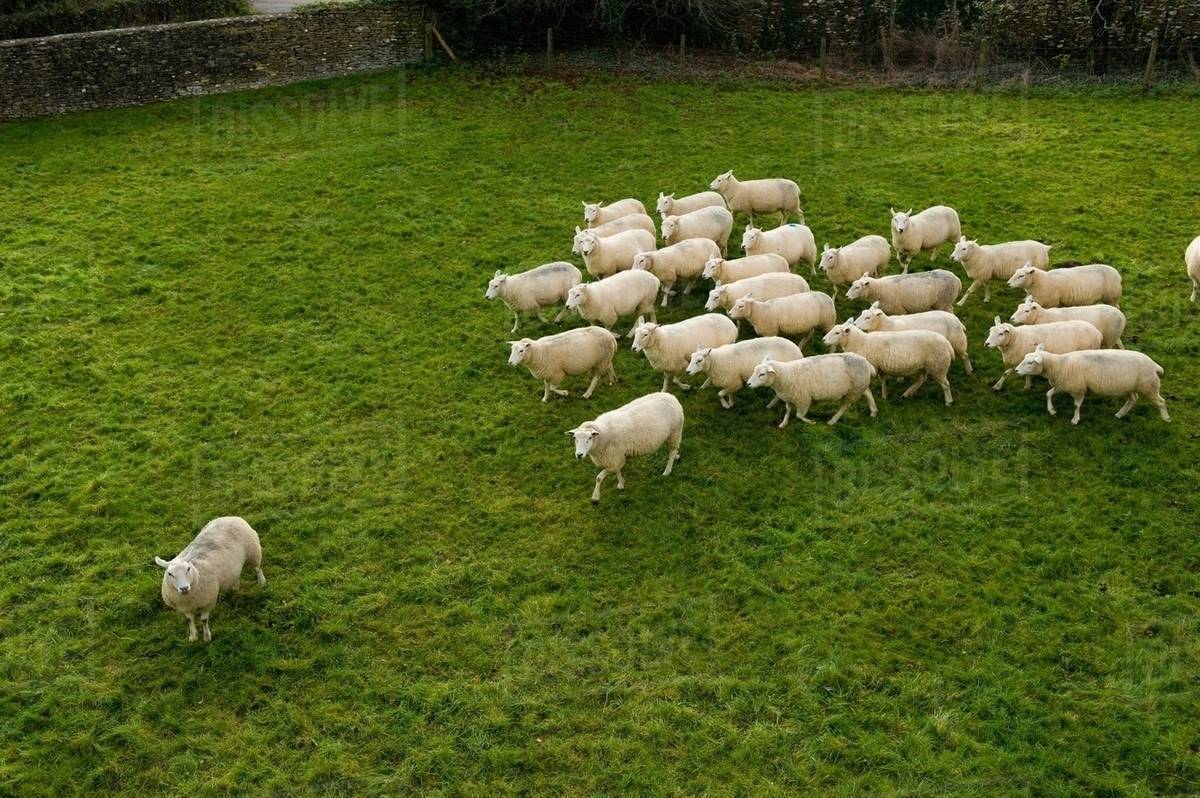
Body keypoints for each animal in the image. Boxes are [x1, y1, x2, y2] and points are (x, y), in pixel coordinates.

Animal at [746, 353, 878, 427]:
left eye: (762, 374)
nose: (748, 384)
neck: (787, 375)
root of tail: (867, 362)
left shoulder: (803, 400)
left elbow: (799, 416)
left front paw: (811, 422)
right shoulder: (789, 398)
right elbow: (788, 411)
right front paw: (783, 424)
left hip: (853, 391)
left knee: (845, 406)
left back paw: (832, 421)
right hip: (859, 386)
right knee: (868, 393)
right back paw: (873, 411)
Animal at [822, 320, 954, 405]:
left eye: (837, 332)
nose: (823, 340)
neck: (861, 342)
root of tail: (947, 344)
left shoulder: (873, 366)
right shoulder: (880, 366)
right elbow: (883, 380)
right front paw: (884, 394)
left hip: (938, 366)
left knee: (945, 384)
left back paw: (948, 401)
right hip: (922, 367)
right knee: (920, 380)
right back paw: (906, 394)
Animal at [1016, 344, 1169, 425]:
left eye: (1030, 363)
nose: (1016, 370)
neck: (1059, 365)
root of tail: (1154, 364)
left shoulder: (1078, 388)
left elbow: (1076, 405)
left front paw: (1075, 419)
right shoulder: (1063, 384)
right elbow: (1048, 394)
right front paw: (1052, 411)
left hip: (1149, 386)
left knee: (1161, 401)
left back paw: (1166, 418)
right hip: (1130, 386)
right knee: (1133, 399)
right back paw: (1120, 414)